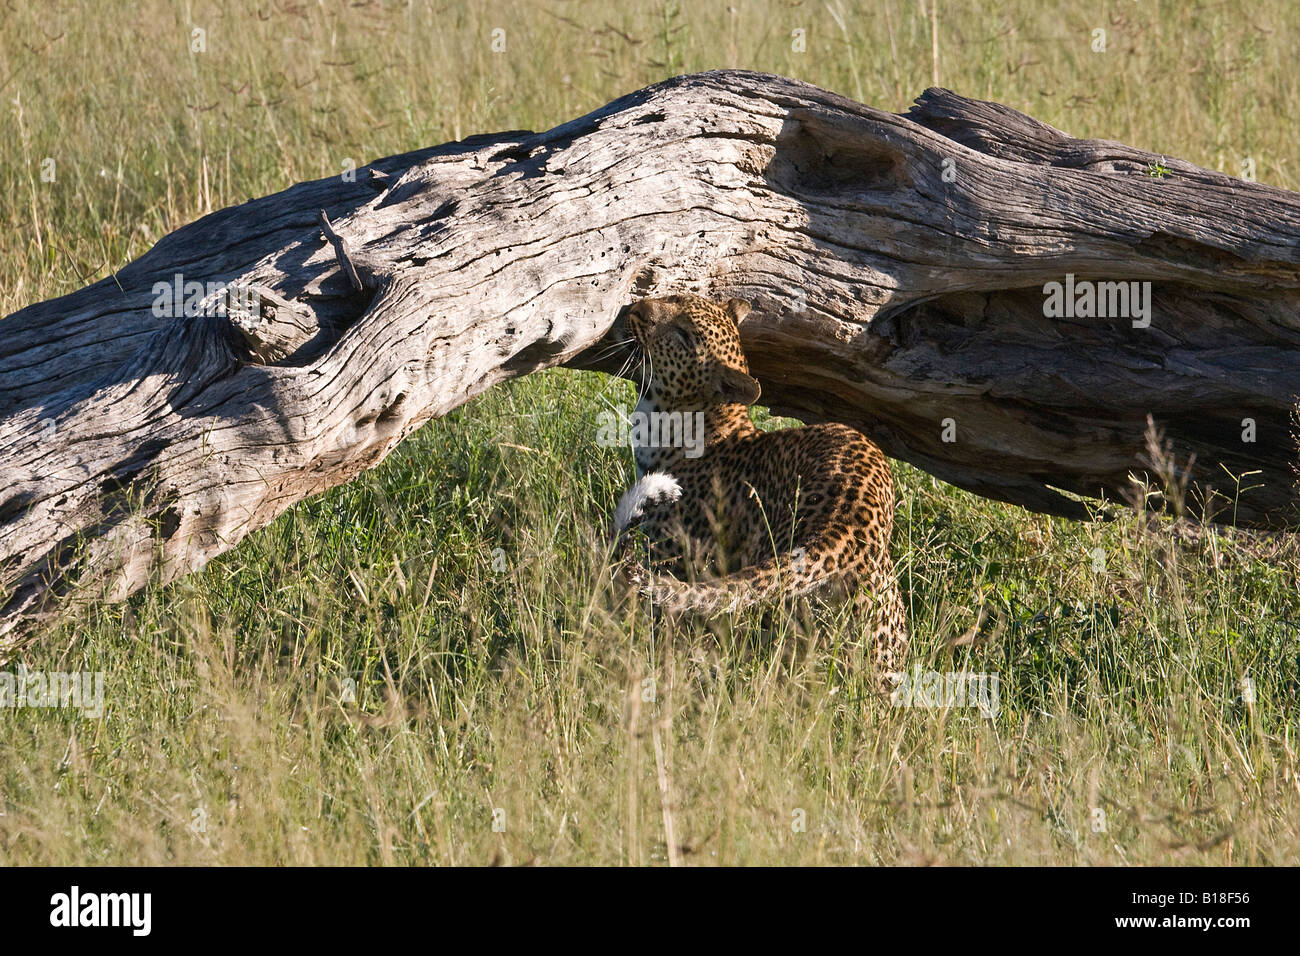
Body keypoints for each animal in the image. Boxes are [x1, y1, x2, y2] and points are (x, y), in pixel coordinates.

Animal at [609, 293, 909, 684]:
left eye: (685, 336)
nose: (637, 308)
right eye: (675, 297)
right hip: (882, 636)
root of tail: (847, 522)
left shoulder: (668, 553)